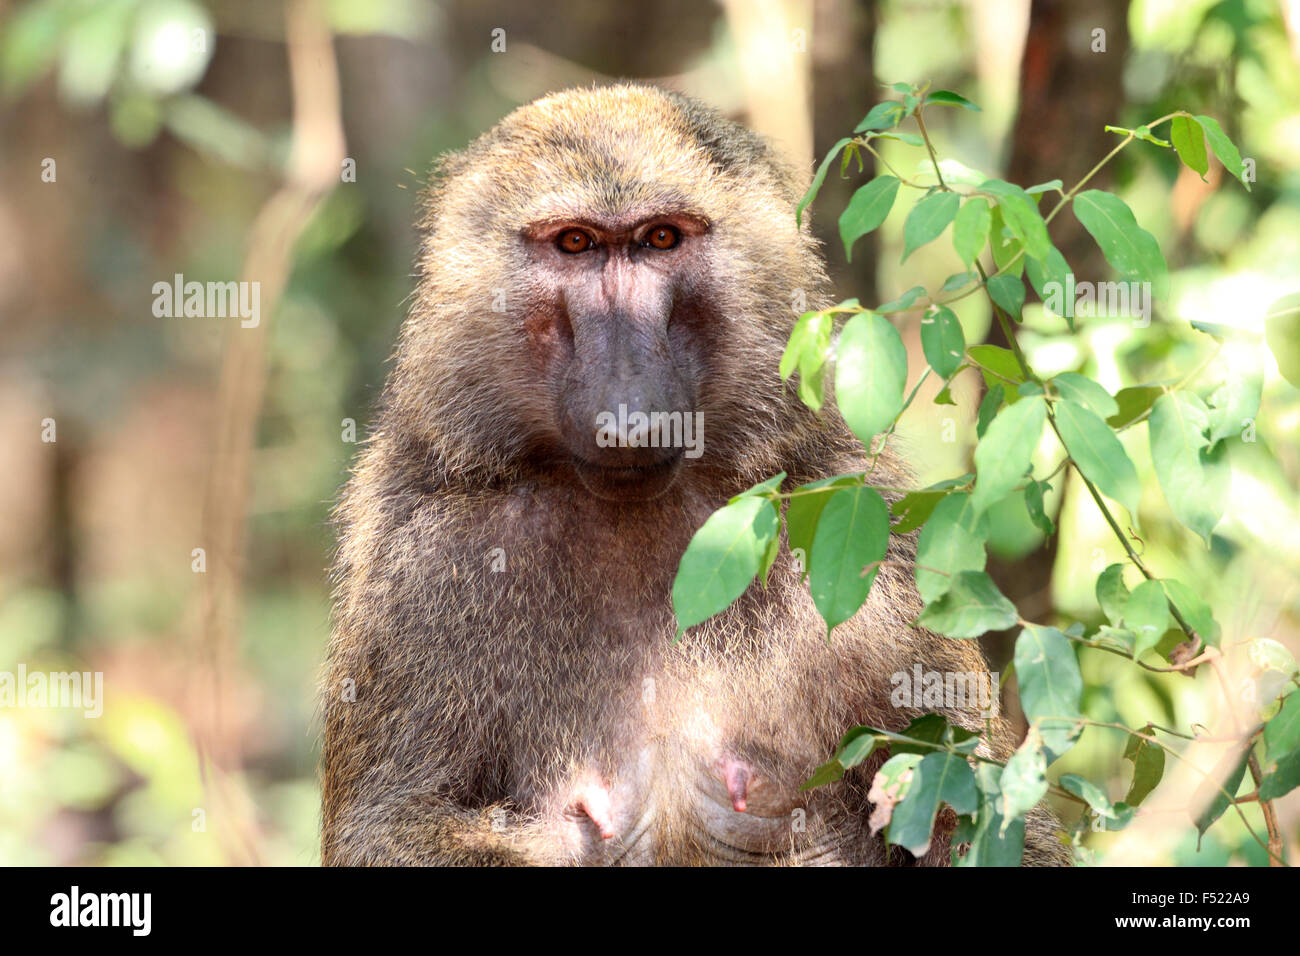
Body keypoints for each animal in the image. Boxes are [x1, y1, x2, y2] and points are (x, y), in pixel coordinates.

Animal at [321, 83, 1070, 866]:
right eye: (576, 244)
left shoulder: (863, 524)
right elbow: (389, 825)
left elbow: (983, 810)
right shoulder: (416, 554)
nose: (629, 403)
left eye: (660, 239)